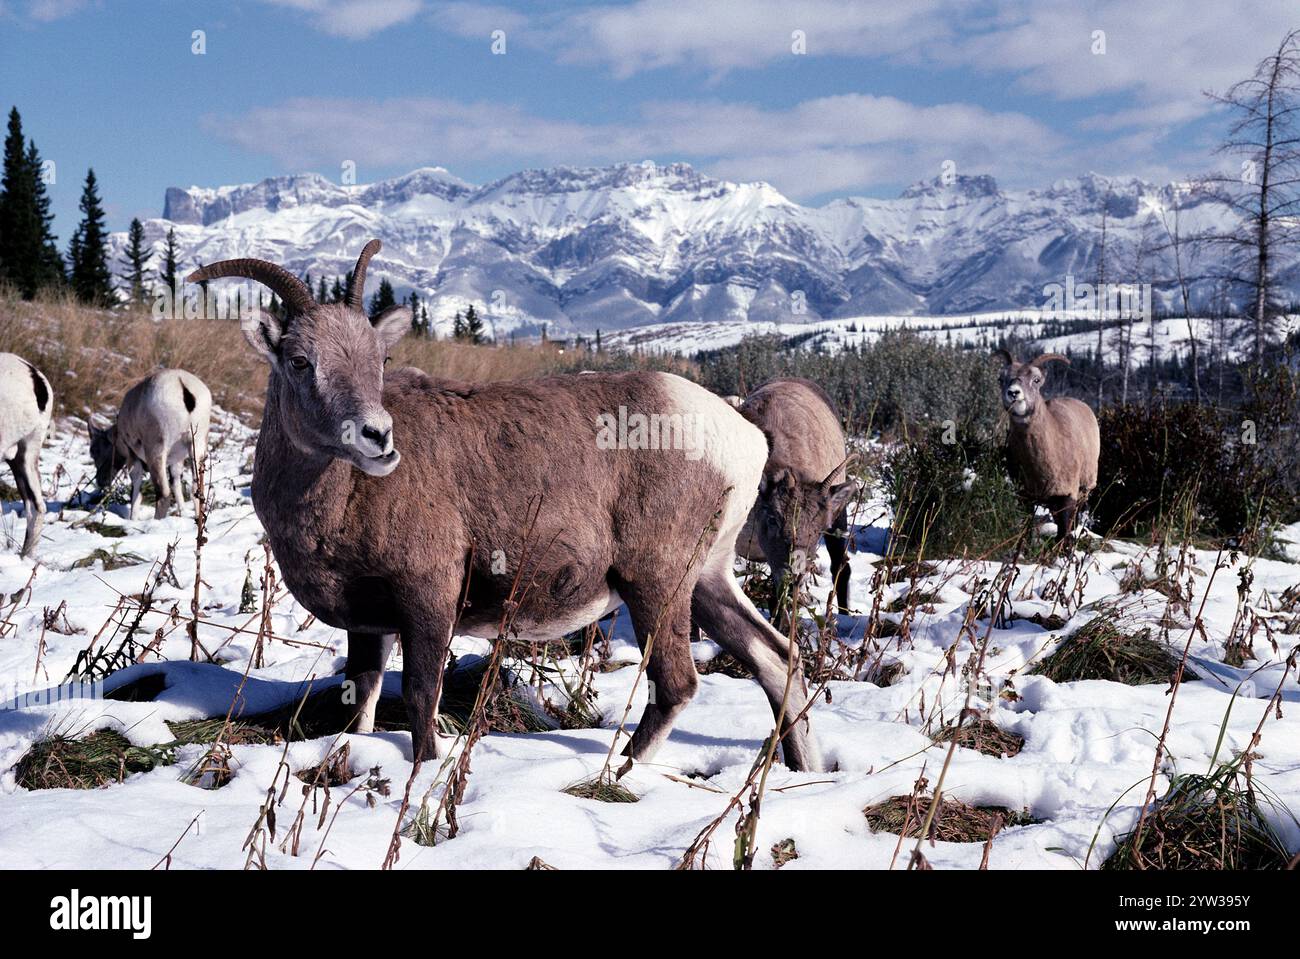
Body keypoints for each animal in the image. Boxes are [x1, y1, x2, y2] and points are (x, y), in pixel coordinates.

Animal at [89, 369, 212, 520]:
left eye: (94, 451)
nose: (101, 482)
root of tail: (182, 385)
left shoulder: (133, 457)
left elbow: (136, 490)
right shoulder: (177, 461)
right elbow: (176, 484)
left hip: (156, 453)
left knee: (163, 494)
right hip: (197, 448)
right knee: (196, 490)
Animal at [188, 240, 824, 772]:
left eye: (378, 360)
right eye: (300, 361)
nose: (377, 438)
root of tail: (743, 435)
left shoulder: (430, 596)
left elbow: (420, 697)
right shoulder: (369, 624)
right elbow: (363, 701)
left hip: (657, 583)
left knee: (678, 685)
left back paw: (617, 773)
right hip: (708, 581)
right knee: (777, 658)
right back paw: (803, 768)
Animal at [993, 350, 1100, 539]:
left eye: (1036, 380)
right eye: (1001, 379)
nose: (1014, 393)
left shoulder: (1067, 496)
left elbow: (1063, 535)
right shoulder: (1025, 497)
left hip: (1084, 490)